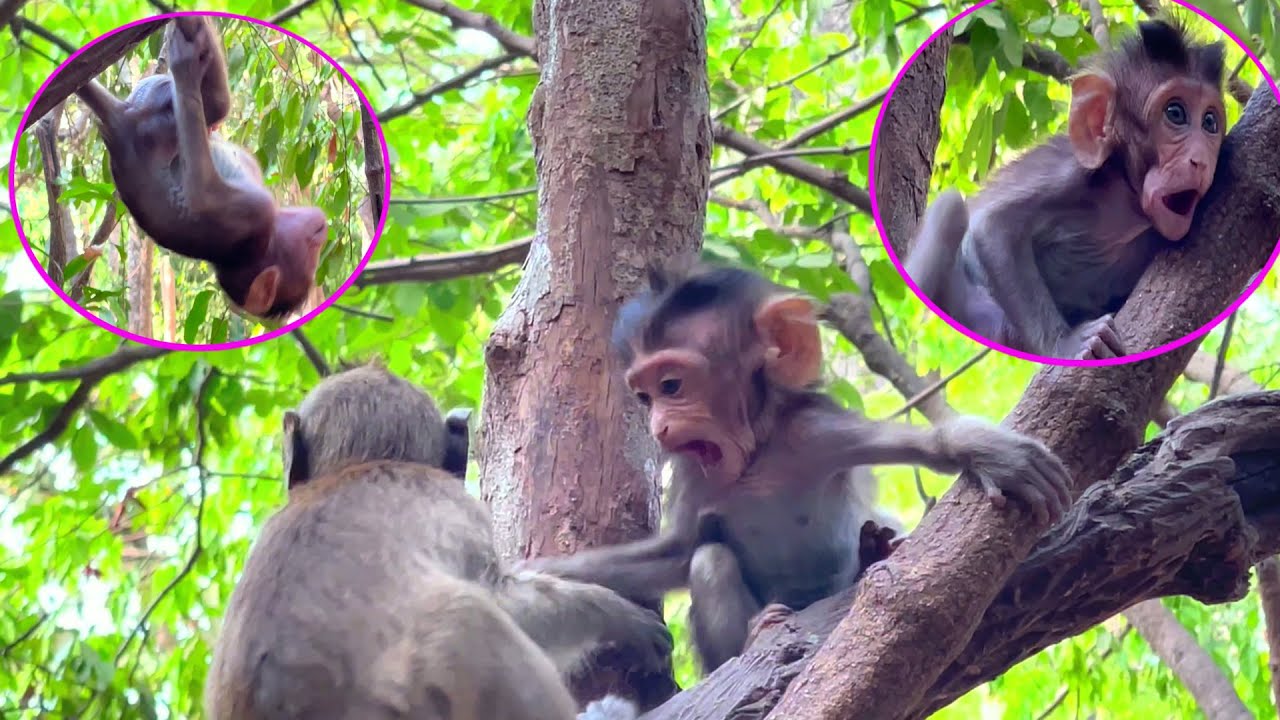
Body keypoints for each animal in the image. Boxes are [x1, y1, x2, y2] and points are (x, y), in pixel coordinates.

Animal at [73, 16, 328, 320]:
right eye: (314, 249)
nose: (323, 226)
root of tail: (121, 124)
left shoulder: (256, 212)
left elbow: (202, 197)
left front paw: (186, 64)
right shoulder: (259, 209)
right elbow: (202, 195)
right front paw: (186, 62)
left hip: (152, 120)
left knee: (214, 104)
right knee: (215, 106)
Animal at [520, 264, 1074, 673]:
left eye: (672, 386)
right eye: (644, 396)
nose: (658, 426)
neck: (755, 458)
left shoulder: (811, 430)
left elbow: (916, 446)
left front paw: (984, 449)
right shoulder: (695, 478)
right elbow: (676, 552)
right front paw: (538, 576)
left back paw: (872, 553)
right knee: (710, 559)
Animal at [903, 19, 1225, 360]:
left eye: (1210, 122)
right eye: (1175, 114)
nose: (1200, 160)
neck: (1126, 202)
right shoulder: (1065, 176)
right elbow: (992, 228)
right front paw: (1065, 344)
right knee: (950, 209)